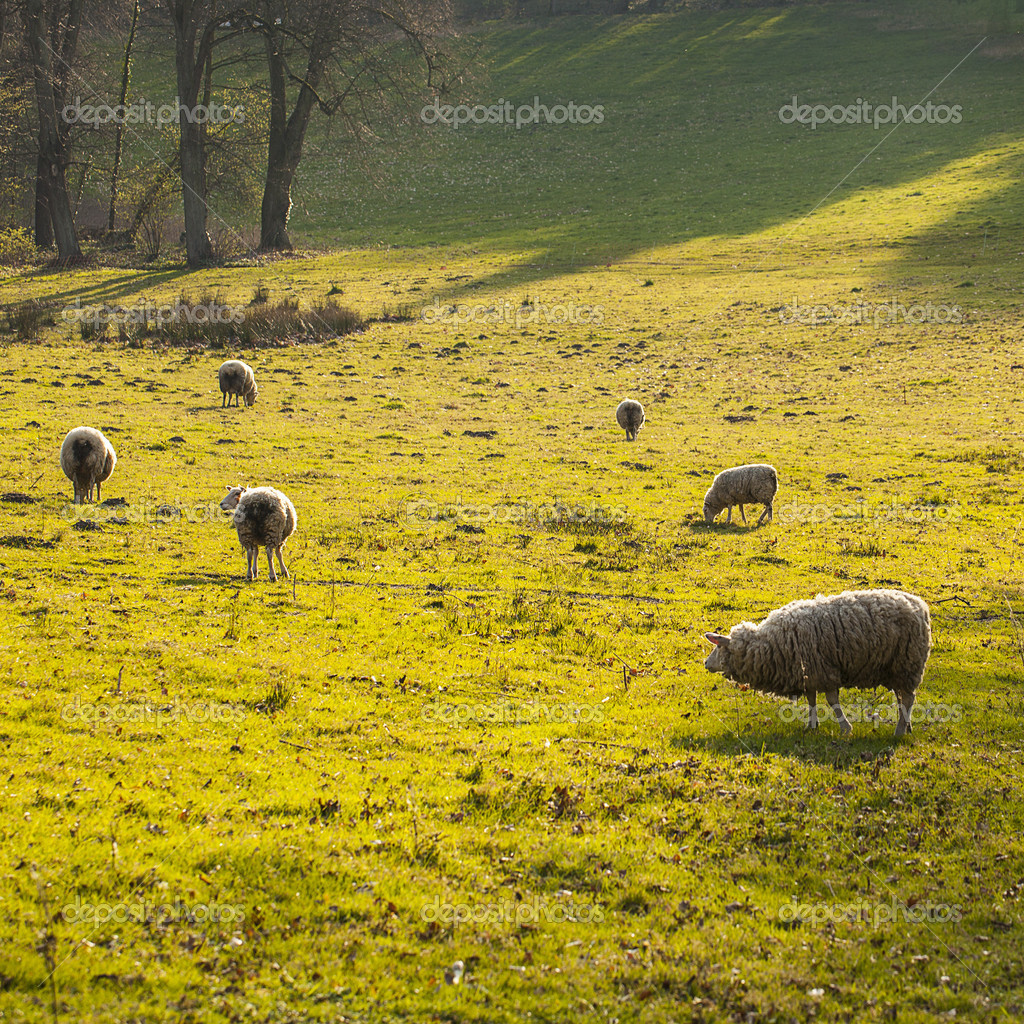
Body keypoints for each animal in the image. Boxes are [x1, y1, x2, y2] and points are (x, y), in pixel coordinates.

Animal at [703, 589, 931, 737]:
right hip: (897, 668)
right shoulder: (809, 673)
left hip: (907, 663)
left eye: (718, 647)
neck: (770, 644)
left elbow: (831, 701)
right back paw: (907, 725)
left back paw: (899, 731)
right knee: (902, 697)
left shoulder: (823, 670)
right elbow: (811, 699)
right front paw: (812, 725)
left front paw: (845, 728)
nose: (706, 663)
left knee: (908, 698)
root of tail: (921, 606)